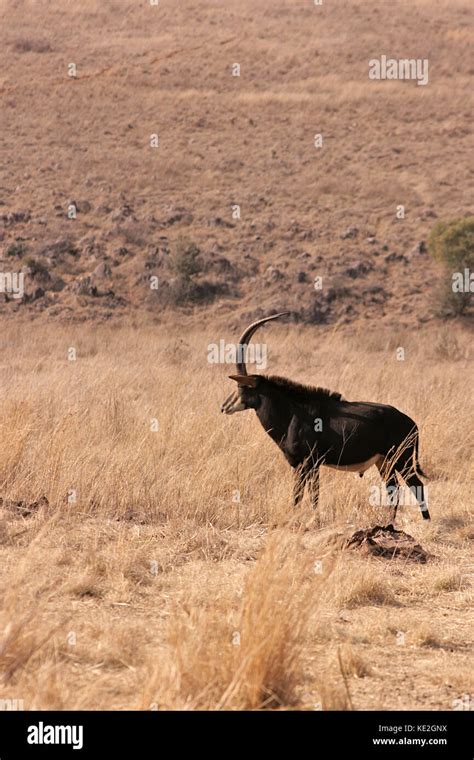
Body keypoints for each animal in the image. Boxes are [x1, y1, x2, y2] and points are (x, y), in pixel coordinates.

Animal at [221, 313, 430, 522]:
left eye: (241, 386)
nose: (224, 407)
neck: (292, 413)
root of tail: (412, 423)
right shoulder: (302, 465)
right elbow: (302, 495)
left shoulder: (309, 463)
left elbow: (309, 495)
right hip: (385, 462)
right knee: (393, 488)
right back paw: (389, 521)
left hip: (401, 460)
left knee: (416, 484)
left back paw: (424, 521)